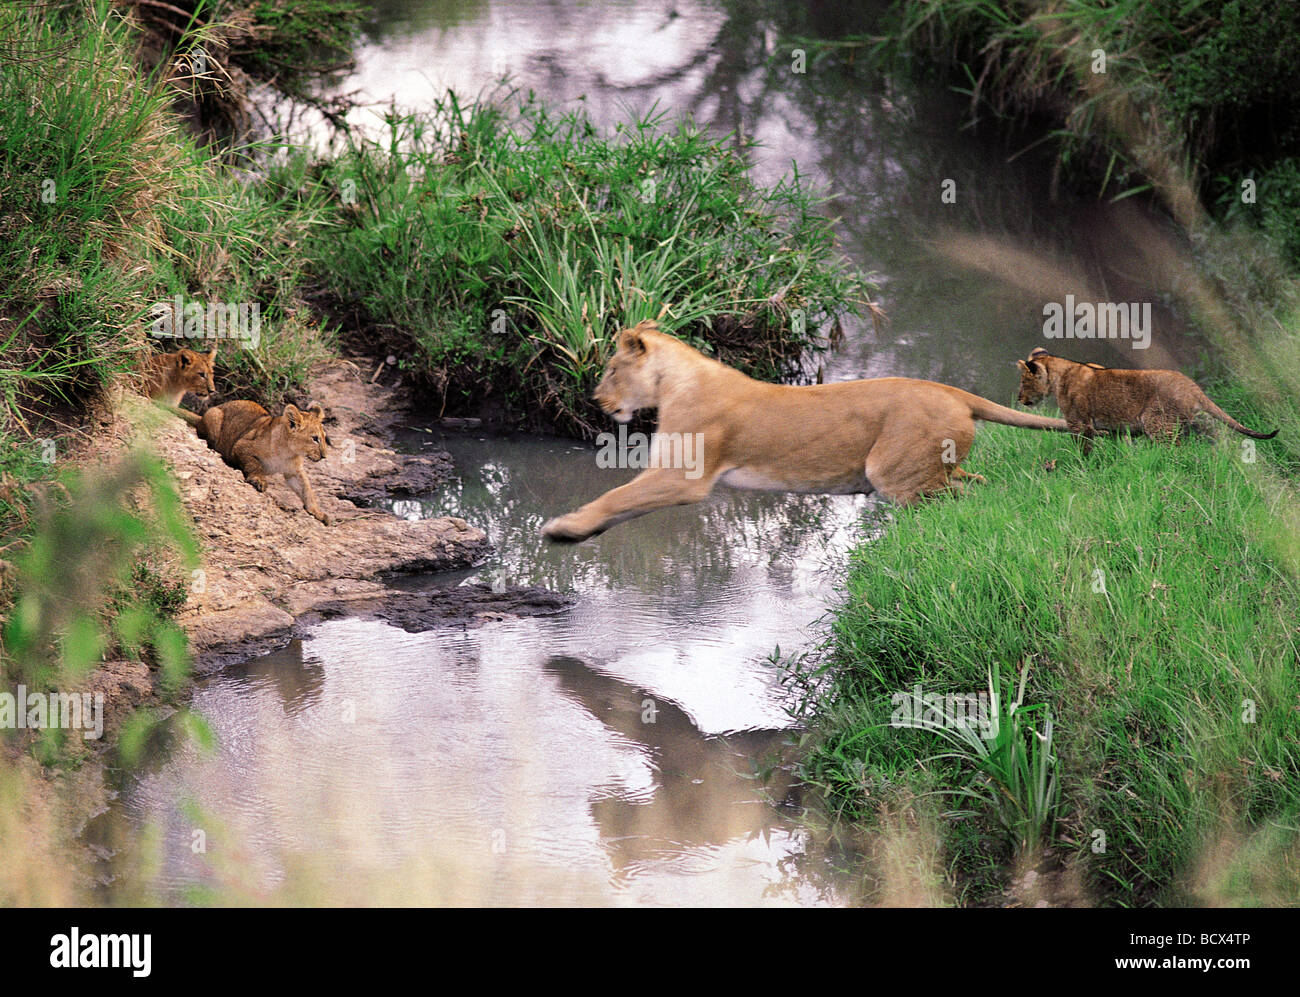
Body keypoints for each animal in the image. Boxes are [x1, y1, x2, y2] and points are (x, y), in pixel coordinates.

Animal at [179, 399, 333, 525]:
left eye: (325, 438)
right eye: (315, 438)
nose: (325, 456)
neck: (288, 452)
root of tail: (202, 416)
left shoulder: (294, 471)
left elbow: (307, 490)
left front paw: (318, 512)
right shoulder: (241, 446)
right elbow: (255, 465)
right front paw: (259, 480)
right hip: (215, 417)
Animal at [540, 320, 1070, 542]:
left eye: (612, 369)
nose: (597, 401)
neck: (674, 382)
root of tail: (956, 392)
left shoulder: (683, 476)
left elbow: (617, 496)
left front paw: (564, 528)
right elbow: (624, 504)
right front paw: (580, 533)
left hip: (891, 470)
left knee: (953, 498)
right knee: (975, 483)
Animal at [1017, 347, 1277, 454]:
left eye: (1023, 382)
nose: (1019, 398)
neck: (1060, 374)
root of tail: (1191, 386)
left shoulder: (1079, 423)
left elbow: (1083, 449)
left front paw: (1084, 464)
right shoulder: (1116, 428)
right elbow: (1120, 446)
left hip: (1157, 423)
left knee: (1176, 449)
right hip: (1197, 421)